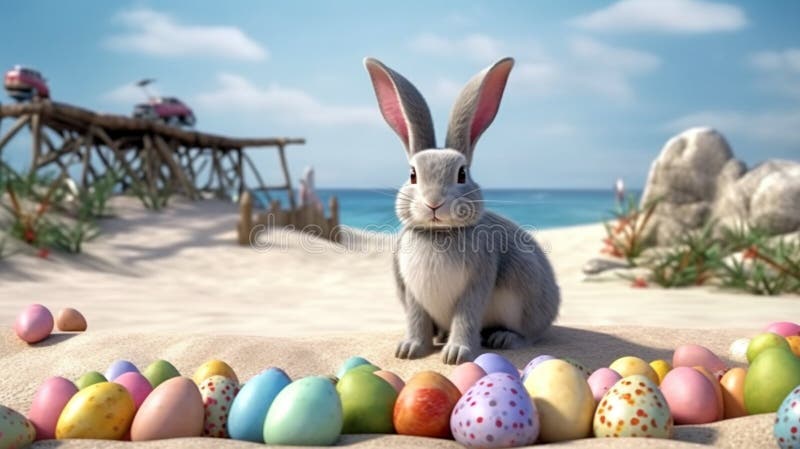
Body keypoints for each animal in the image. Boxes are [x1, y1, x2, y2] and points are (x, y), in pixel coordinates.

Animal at [363, 56, 561, 365]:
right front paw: (409, 349)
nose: (433, 202)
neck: (439, 233)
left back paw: (504, 338)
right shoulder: (412, 294)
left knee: (530, 334)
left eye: (461, 174)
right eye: (412, 175)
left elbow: (466, 317)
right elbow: (416, 320)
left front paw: (456, 354)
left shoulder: (477, 281)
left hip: (527, 299)